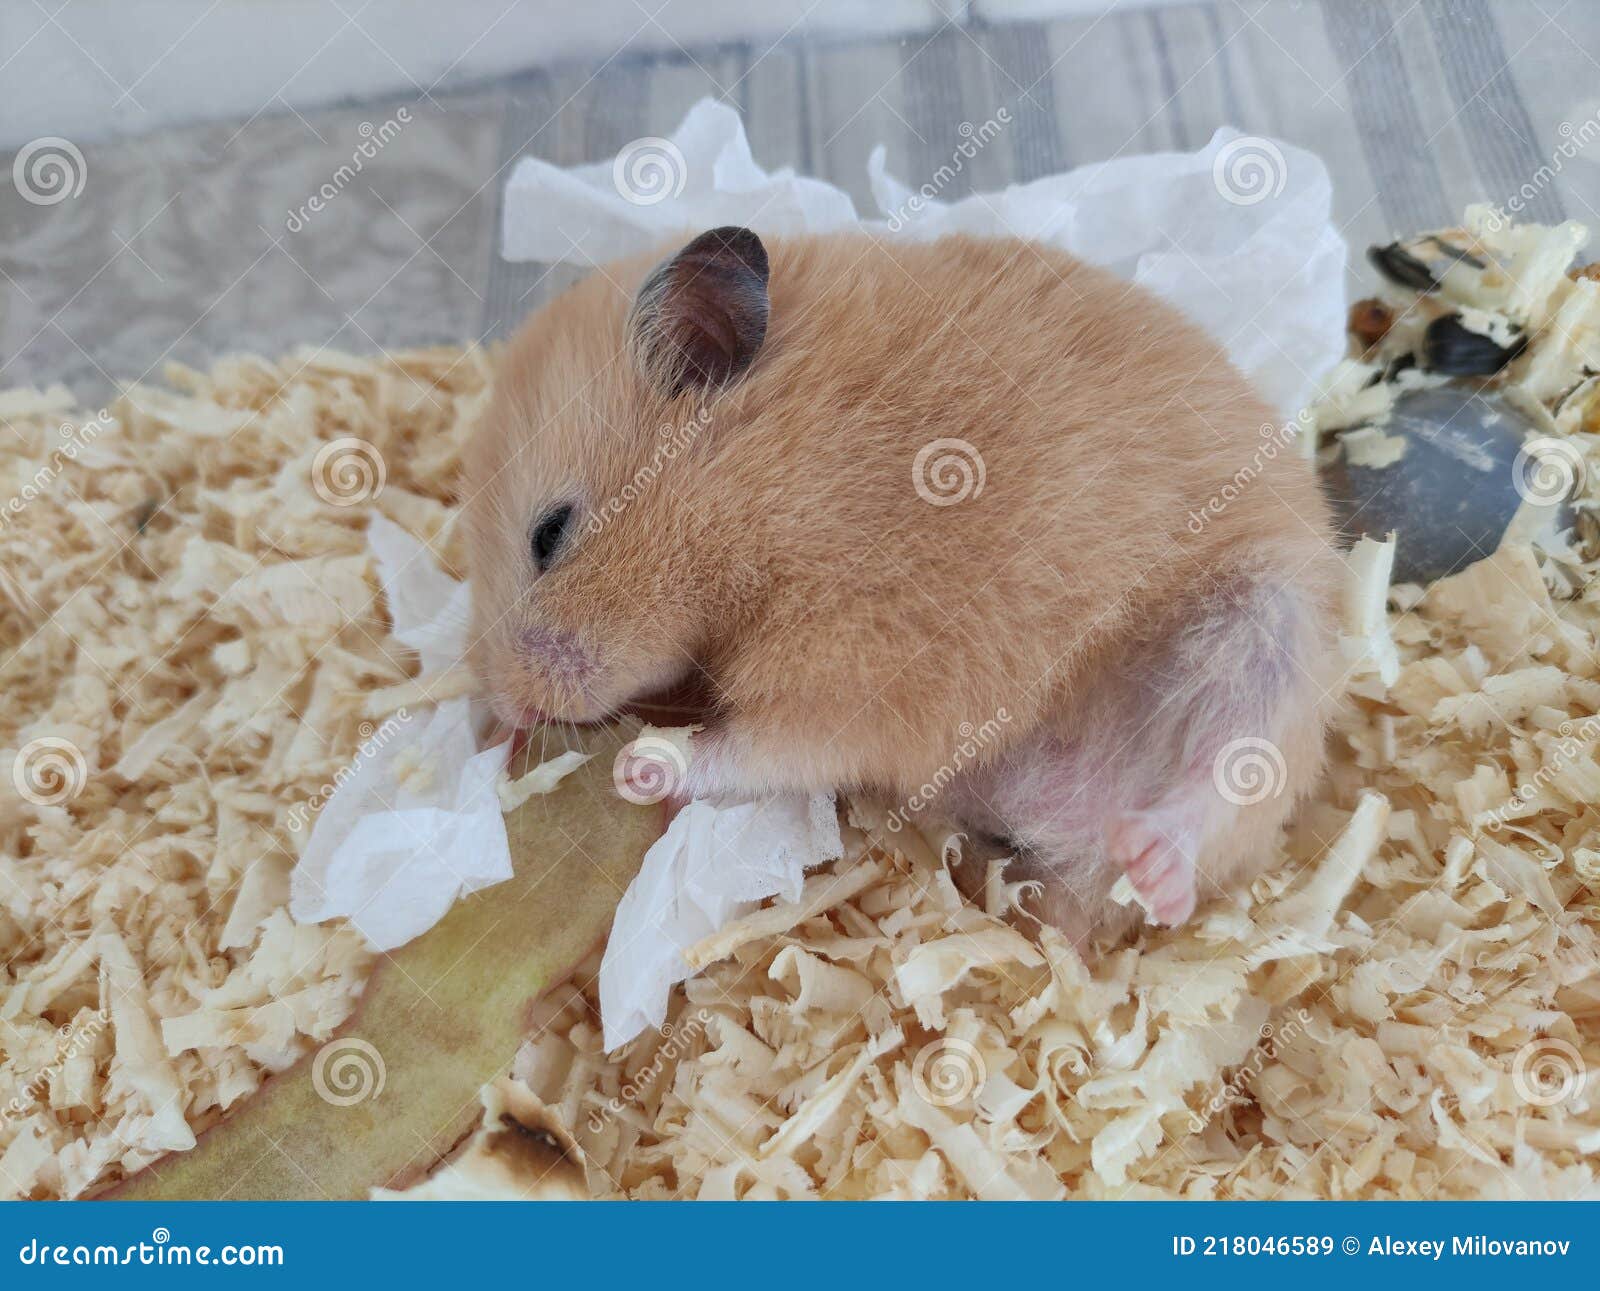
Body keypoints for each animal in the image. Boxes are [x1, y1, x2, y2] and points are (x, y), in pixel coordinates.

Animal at [462, 225, 1342, 948]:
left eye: (549, 535)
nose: (506, 708)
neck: (778, 470)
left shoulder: (851, 663)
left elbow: (760, 749)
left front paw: (640, 765)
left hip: (1265, 630)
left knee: (1221, 783)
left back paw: (1154, 860)